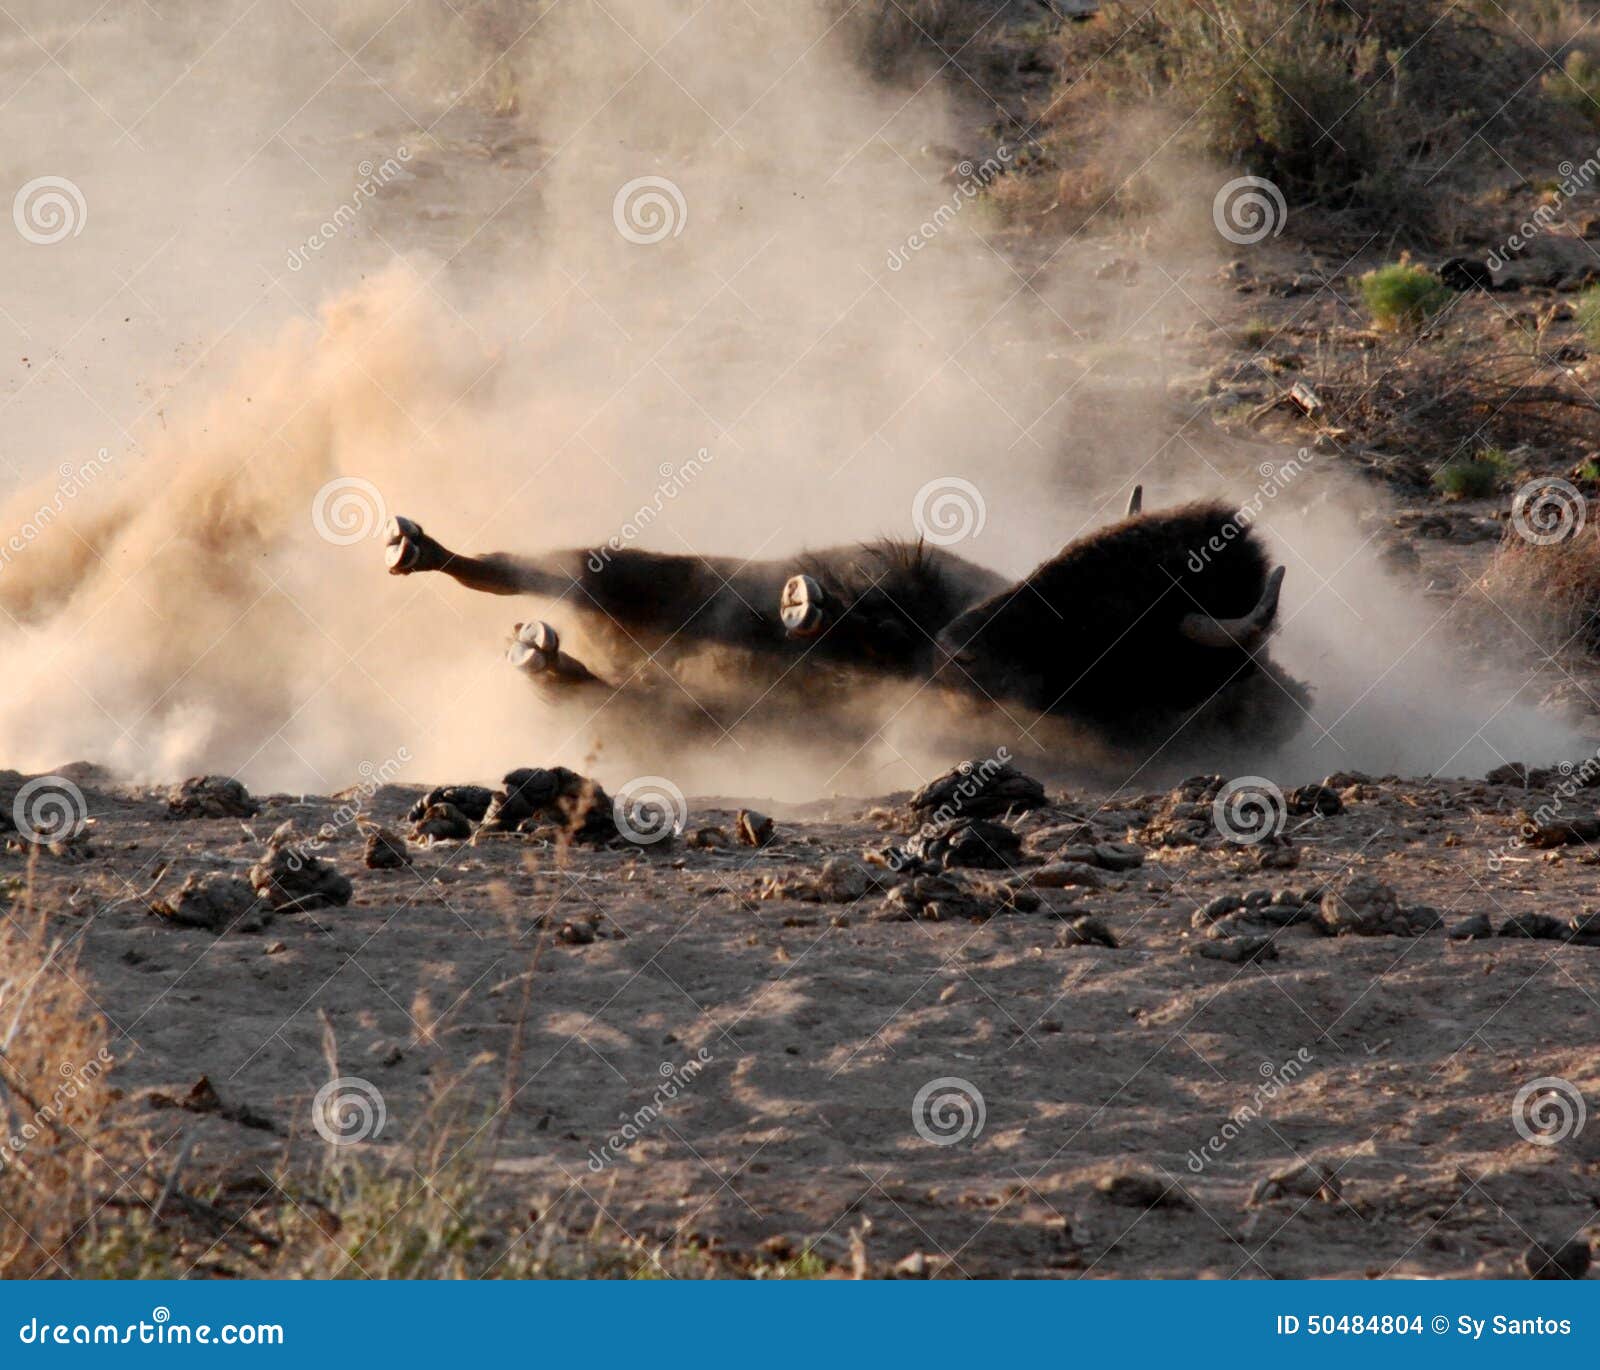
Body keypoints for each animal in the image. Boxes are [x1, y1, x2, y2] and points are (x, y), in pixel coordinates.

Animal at [382, 488, 1307, 757]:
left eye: (1119, 607)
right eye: (1081, 550)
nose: (957, 647)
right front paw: (818, 607)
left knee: (589, 667)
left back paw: (535, 653)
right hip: (659, 576)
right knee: (556, 570)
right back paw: (420, 547)